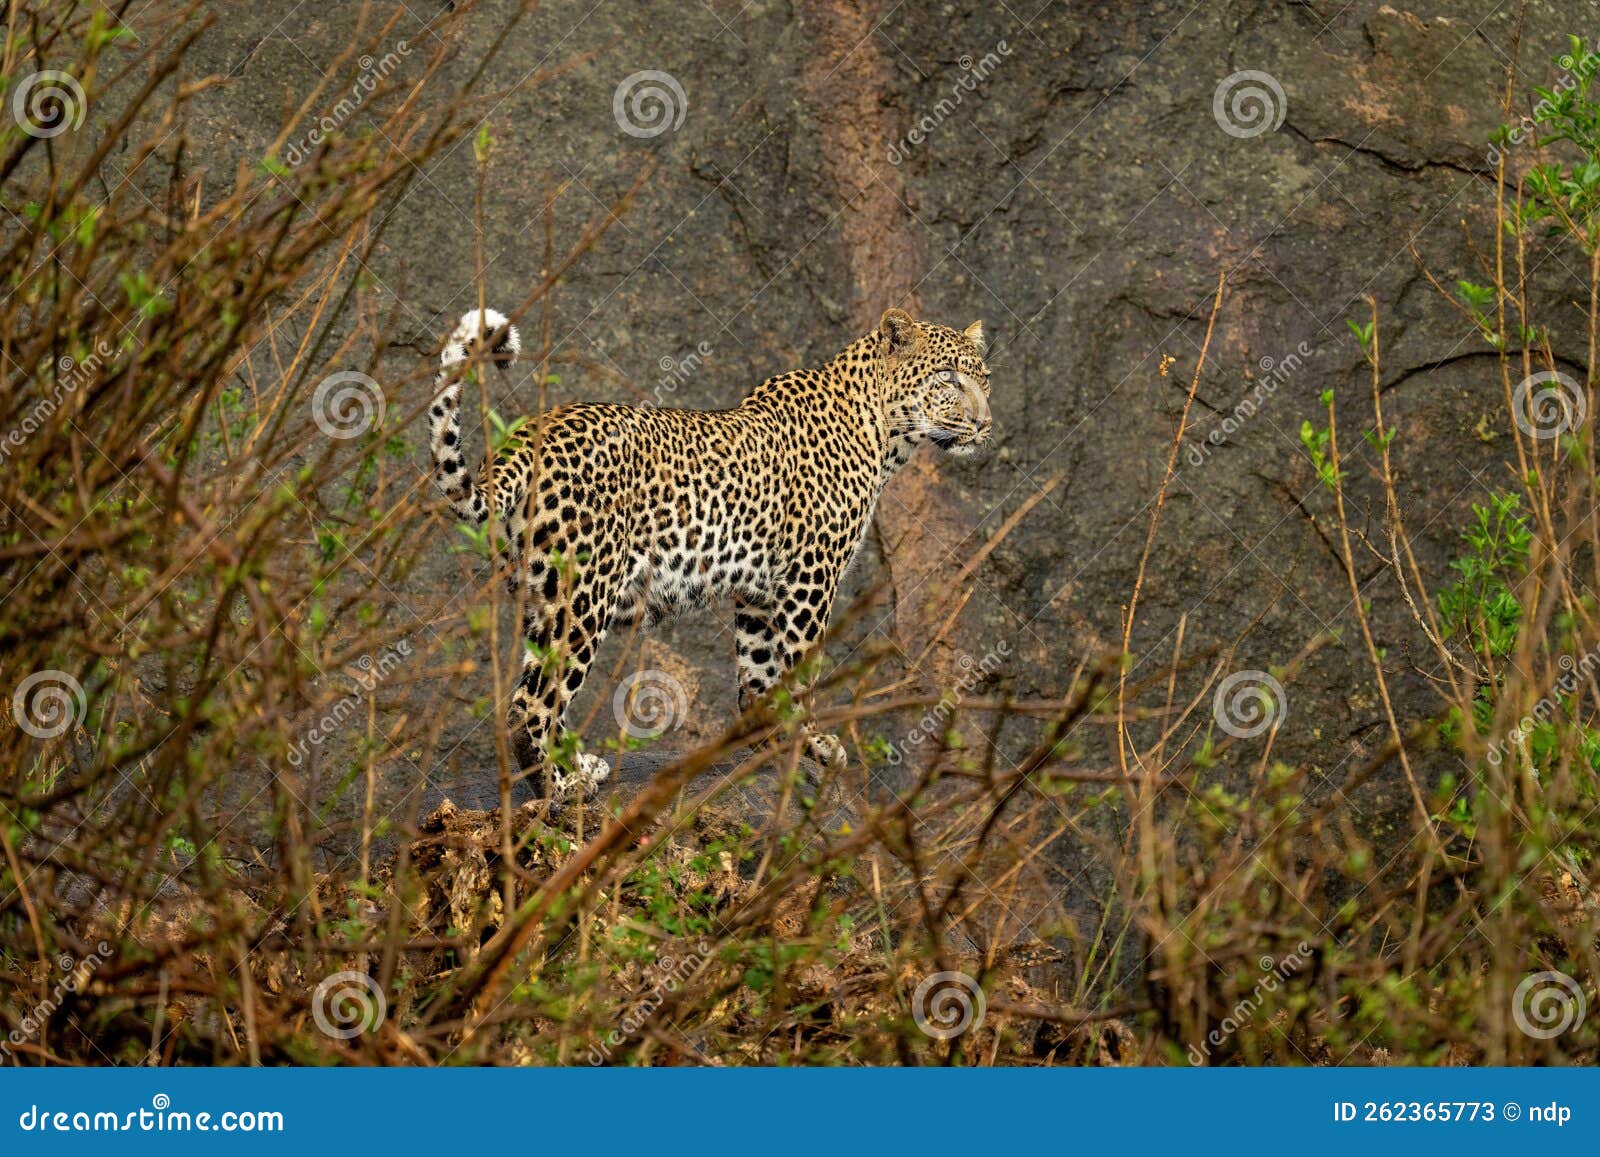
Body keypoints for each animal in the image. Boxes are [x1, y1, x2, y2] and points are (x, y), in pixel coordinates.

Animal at [428, 305, 992, 800]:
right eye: (946, 378)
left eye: (983, 378)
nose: (984, 423)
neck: (885, 436)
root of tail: (524, 437)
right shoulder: (810, 579)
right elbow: (800, 669)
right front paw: (812, 741)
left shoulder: (760, 592)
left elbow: (759, 672)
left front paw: (772, 739)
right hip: (584, 593)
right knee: (530, 705)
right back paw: (560, 791)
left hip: (543, 595)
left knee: (536, 691)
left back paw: (579, 768)